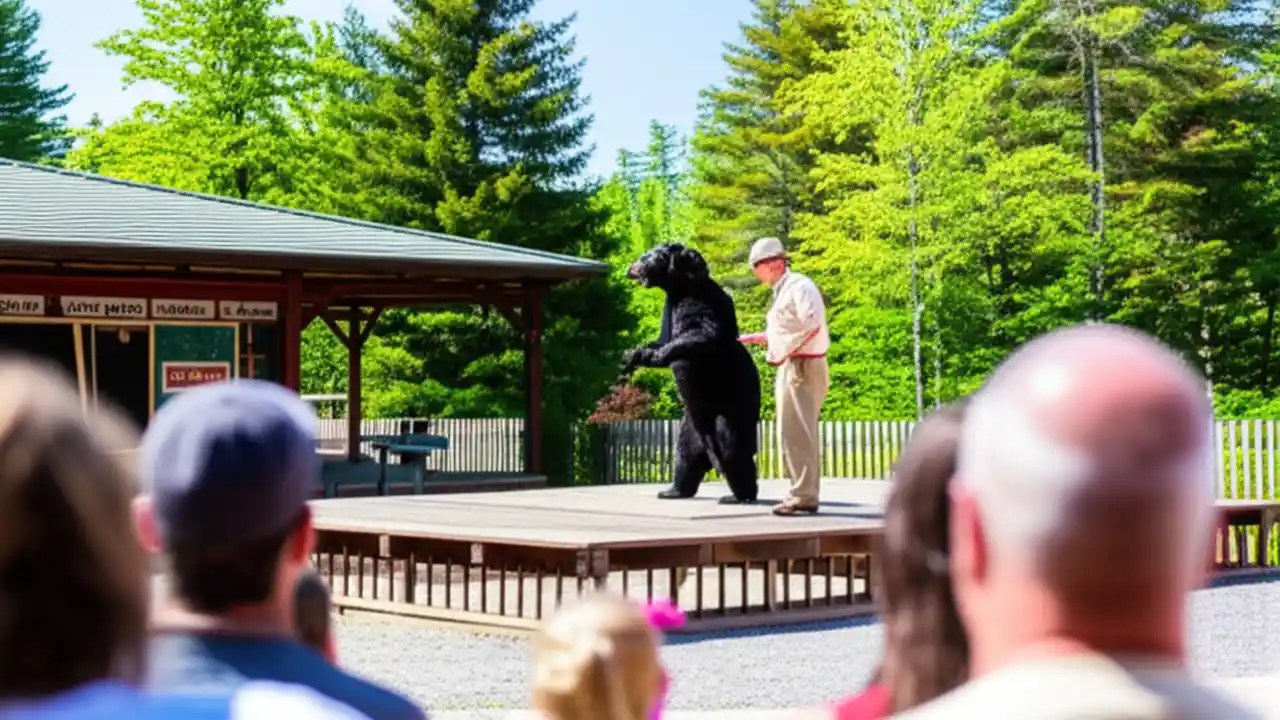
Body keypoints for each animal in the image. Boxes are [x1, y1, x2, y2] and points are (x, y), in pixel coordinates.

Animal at [618, 243, 762, 504]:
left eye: (646, 257)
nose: (630, 269)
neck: (679, 286)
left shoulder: (697, 300)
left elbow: (702, 332)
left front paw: (657, 354)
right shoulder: (669, 306)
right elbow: (663, 337)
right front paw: (634, 354)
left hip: (734, 403)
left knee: (732, 447)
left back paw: (740, 495)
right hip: (691, 426)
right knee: (686, 454)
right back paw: (673, 490)